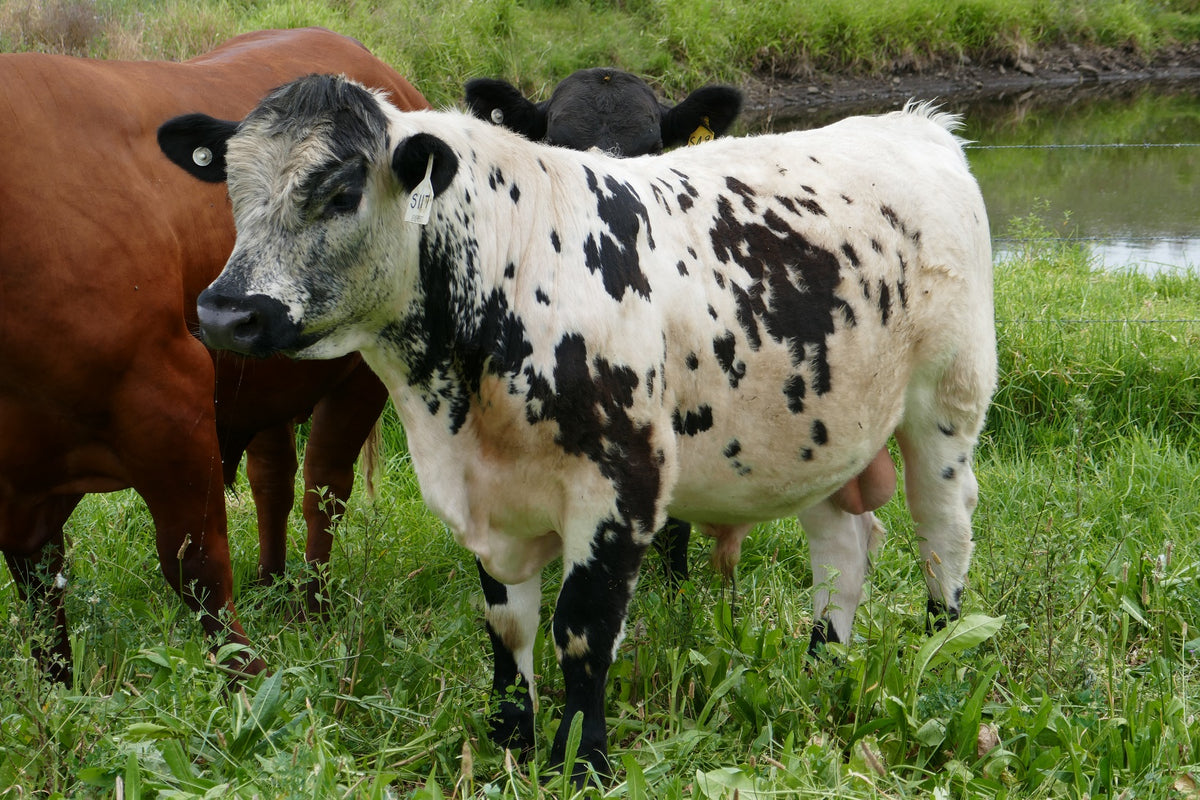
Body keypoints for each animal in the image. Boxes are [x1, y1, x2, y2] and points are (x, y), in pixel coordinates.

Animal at [0, 29, 428, 683]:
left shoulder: (170, 400)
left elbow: (196, 567)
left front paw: (250, 682)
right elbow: (42, 601)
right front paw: (58, 698)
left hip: (360, 375)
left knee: (324, 487)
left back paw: (312, 611)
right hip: (265, 380)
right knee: (273, 476)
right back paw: (272, 582)